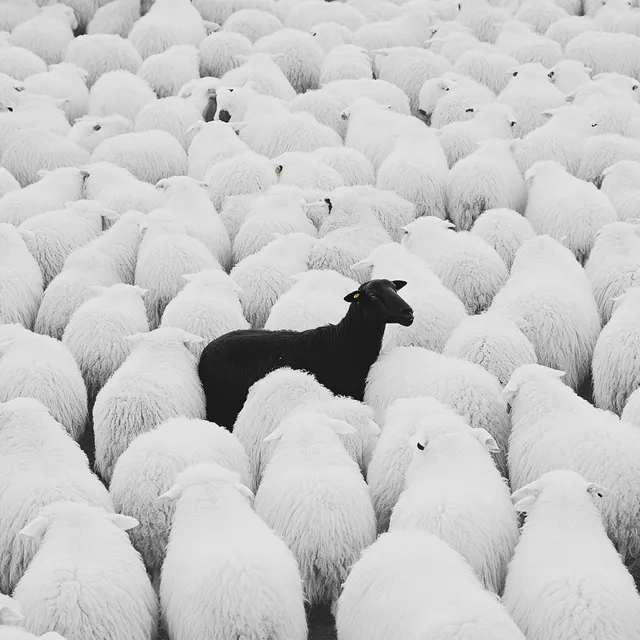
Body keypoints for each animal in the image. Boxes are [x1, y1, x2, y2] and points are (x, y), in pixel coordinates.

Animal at [199, 279, 413, 430]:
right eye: (373, 296)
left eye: (395, 289)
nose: (408, 312)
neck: (345, 340)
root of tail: (206, 352)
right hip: (222, 405)